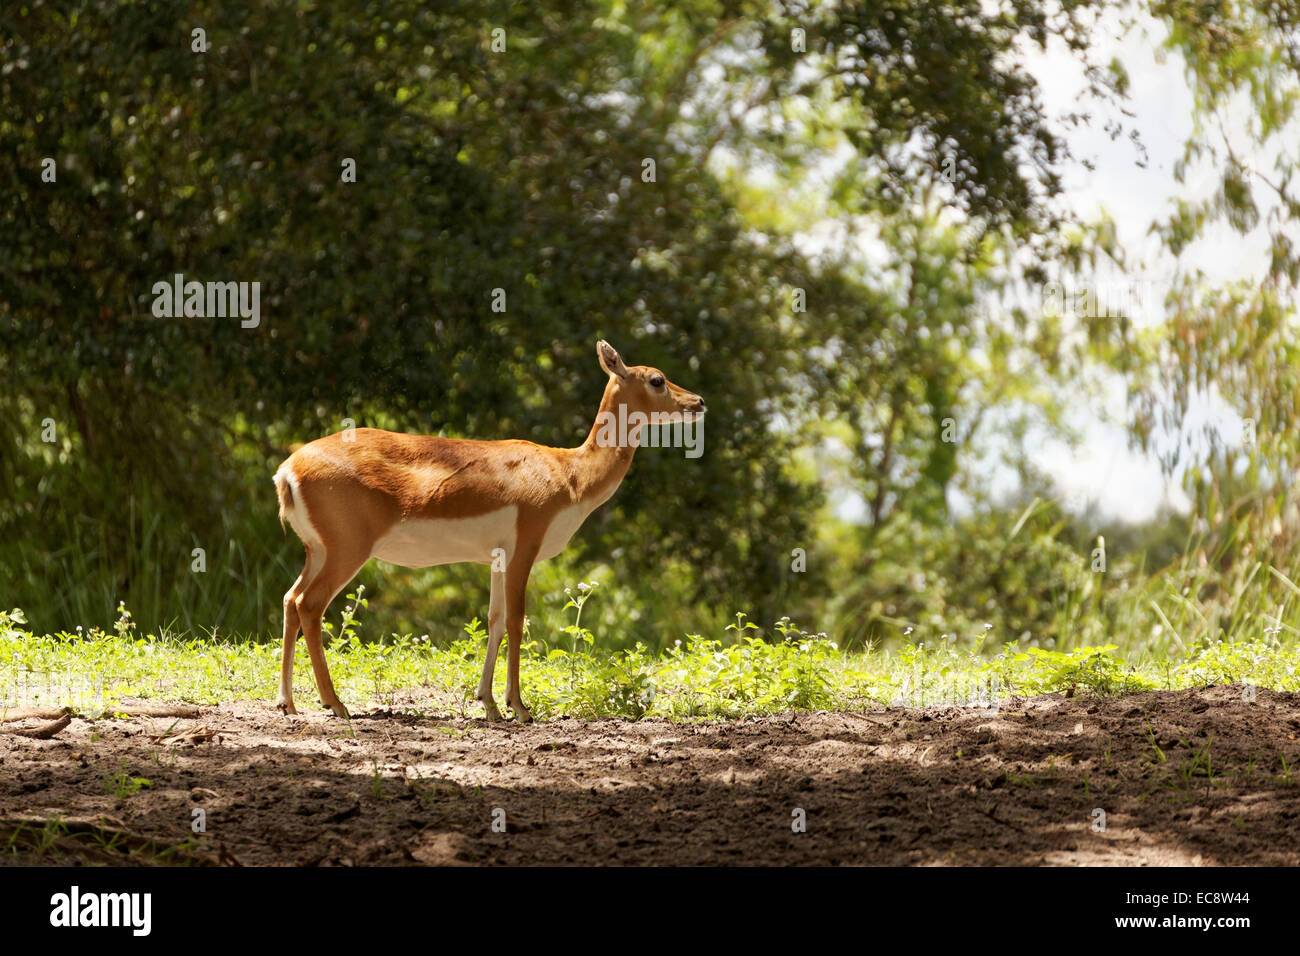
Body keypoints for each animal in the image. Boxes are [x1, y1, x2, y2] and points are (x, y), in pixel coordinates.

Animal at [272, 340, 706, 722]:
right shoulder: (524, 548)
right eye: (657, 379)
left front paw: (490, 705)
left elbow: (494, 621)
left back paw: (288, 703)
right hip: (348, 550)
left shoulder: (496, 558)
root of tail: (288, 470)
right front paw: (520, 708)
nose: (699, 402)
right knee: (309, 605)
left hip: (318, 550)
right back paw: (335, 704)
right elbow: (516, 621)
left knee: (289, 598)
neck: (570, 475)